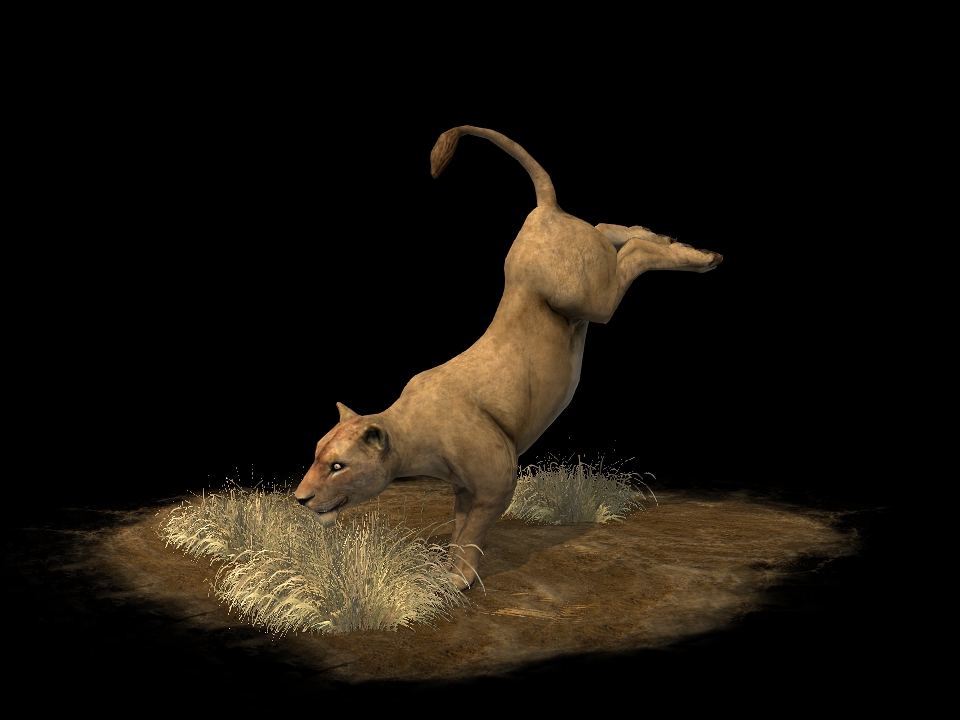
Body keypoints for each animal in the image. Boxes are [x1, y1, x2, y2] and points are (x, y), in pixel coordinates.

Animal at [295, 126, 722, 591]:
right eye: (315, 456)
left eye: (337, 466)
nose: (300, 498)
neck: (411, 432)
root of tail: (544, 210)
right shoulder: (465, 489)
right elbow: (459, 527)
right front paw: (445, 571)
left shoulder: (496, 484)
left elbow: (470, 534)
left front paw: (457, 578)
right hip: (579, 285)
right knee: (608, 228)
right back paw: (670, 239)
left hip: (586, 297)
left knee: (633, 256)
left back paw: (699, 256)